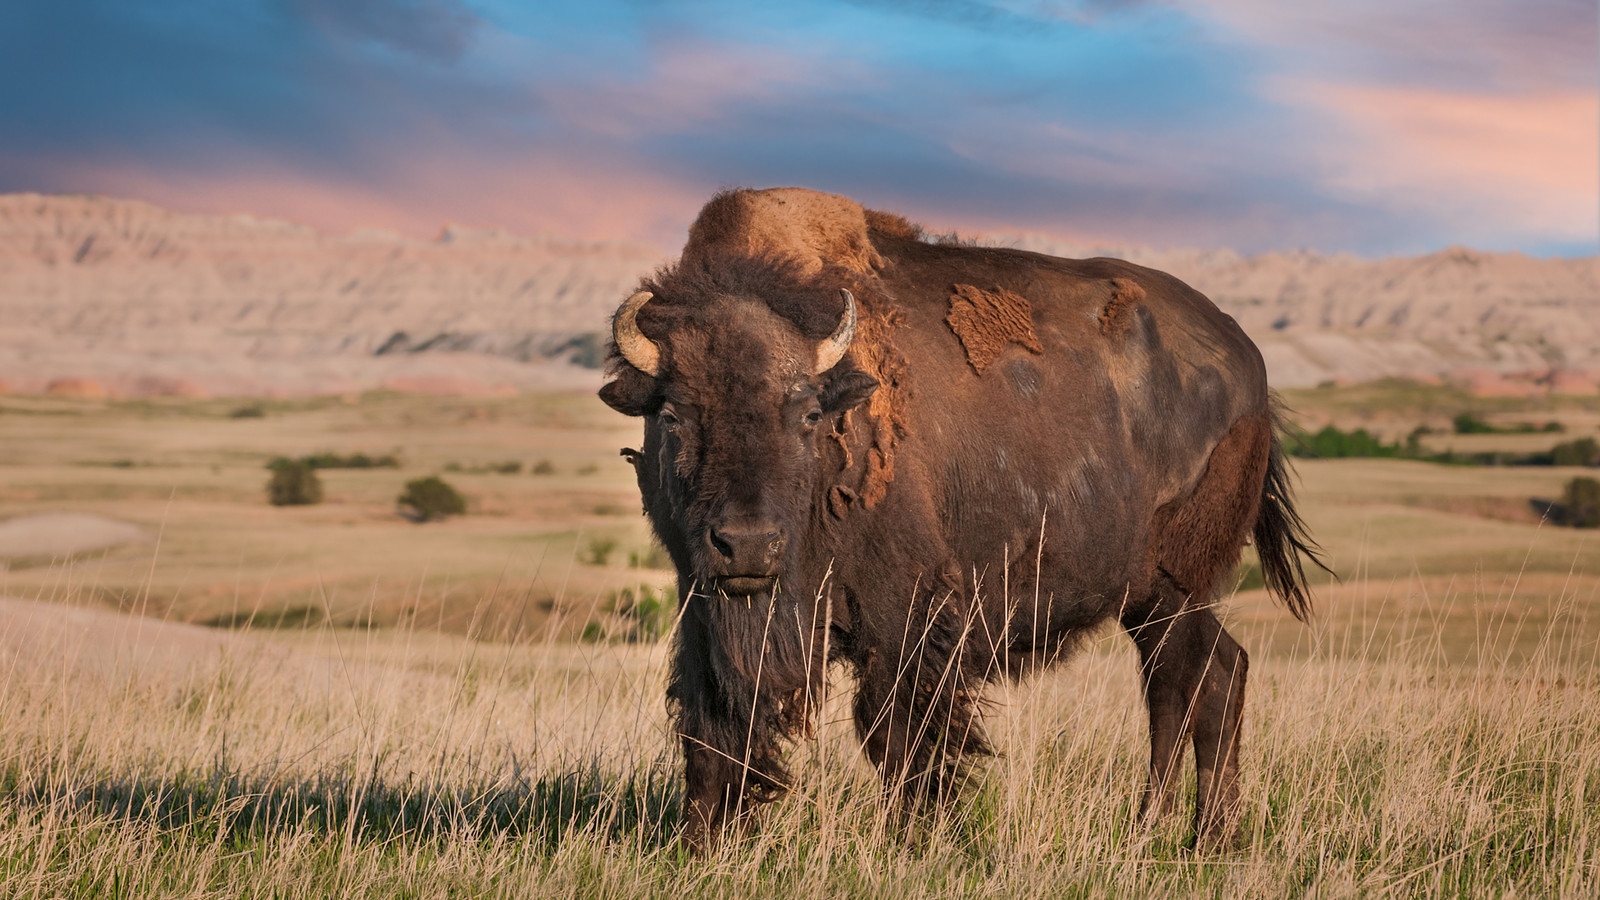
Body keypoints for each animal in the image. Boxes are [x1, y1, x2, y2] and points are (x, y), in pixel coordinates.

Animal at [599, 188, 1324, 851]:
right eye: (672, 415)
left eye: (806, 415)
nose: (747, 545)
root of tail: (1251, 368)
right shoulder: (703, 607)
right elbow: (711, 722)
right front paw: (704, 842)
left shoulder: (905, 615)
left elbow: (901, 733)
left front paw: (918, 839)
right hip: (1152, 600)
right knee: (1200, 679)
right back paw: (1168, 833)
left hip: (1178, 590)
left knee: (1194, 681)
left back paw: (1203, 836)